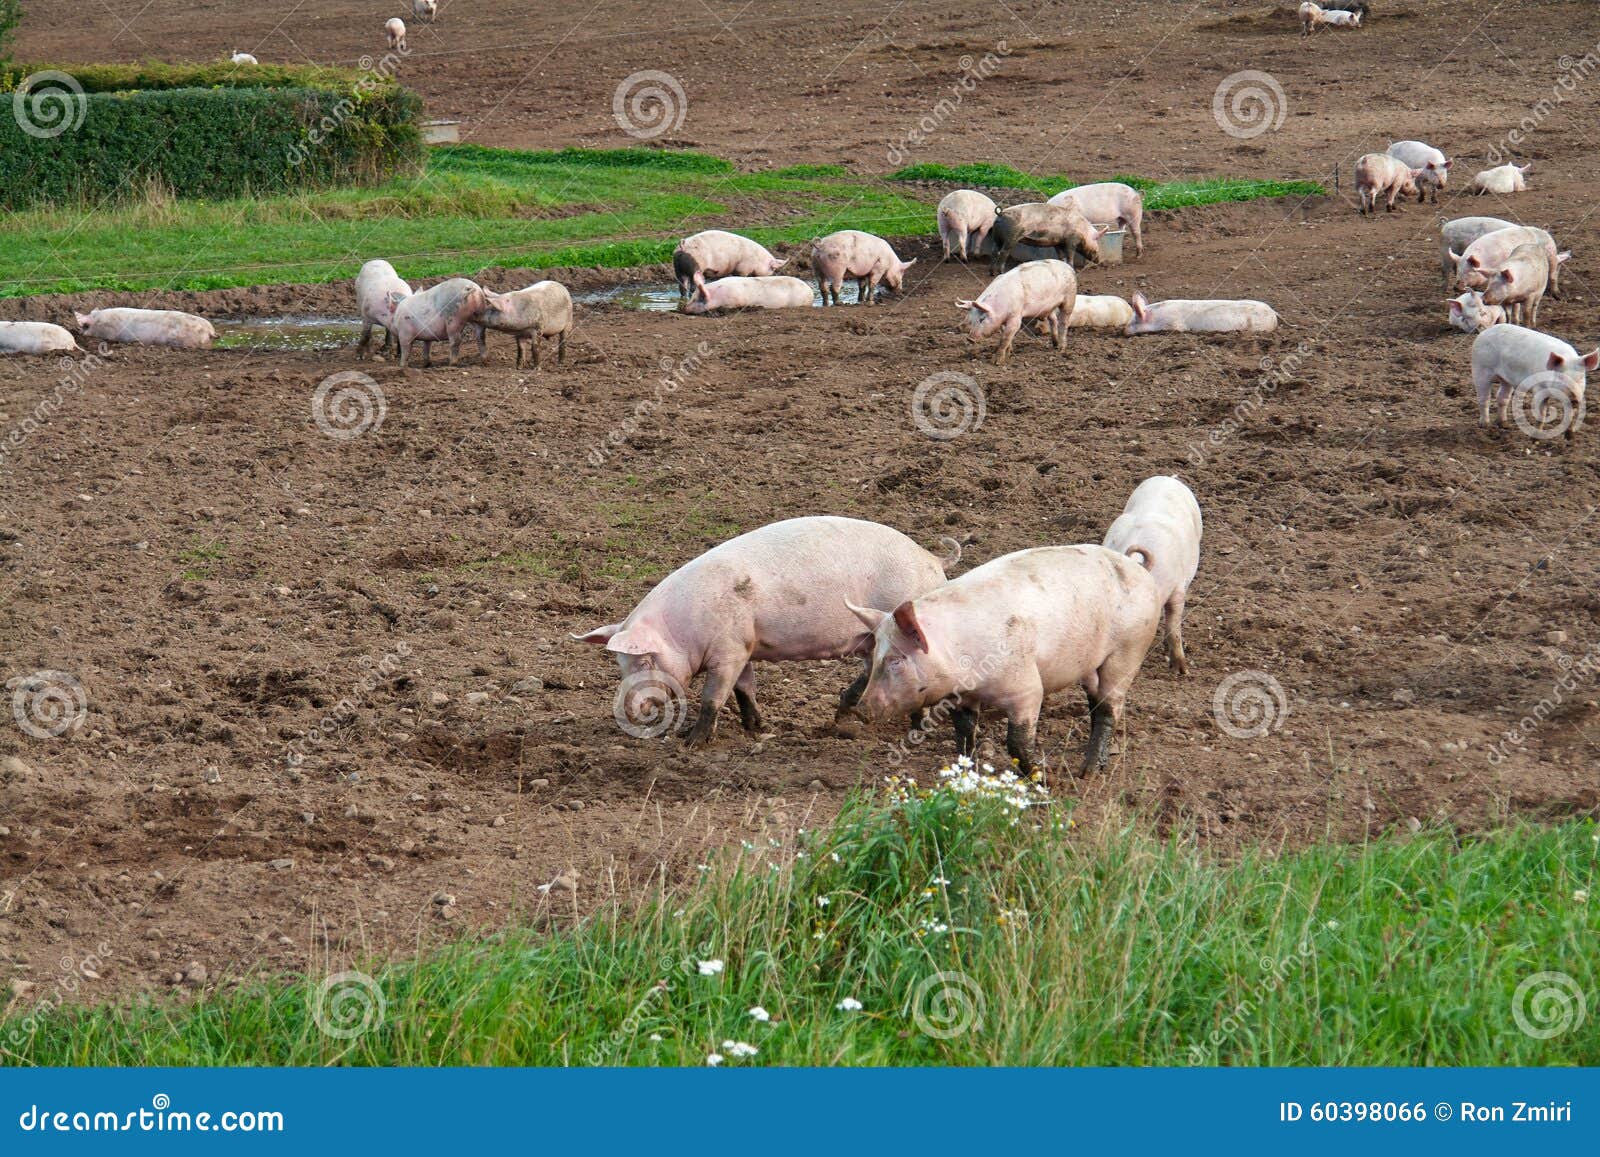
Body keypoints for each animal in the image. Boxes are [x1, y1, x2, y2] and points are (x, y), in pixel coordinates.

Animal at [574, 515, 947, 747]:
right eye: (619, 665)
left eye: (642, 661)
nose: (627, 709)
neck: (683, 629)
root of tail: (934, 561)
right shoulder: (744, 645)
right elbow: (745, 688)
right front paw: (757, 727)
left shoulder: (728, 649)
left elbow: (713, 696)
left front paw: (692, 743)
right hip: (872, 639)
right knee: (870, 668)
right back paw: (841, 715)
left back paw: (916, 729)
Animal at [845, 544, 1160, 776]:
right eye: (875, 654)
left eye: (897, 660)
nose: (861, 710)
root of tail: (1140, 571)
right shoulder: (962, 697)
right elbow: (963, 733)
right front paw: (965, 773)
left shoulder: (1027, 688)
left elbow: (1017, 742)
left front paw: (1043, 778)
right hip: (1093, 664)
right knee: (1095, 702)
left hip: (1129, 649)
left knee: (1110, 707)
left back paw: (1088, 773)